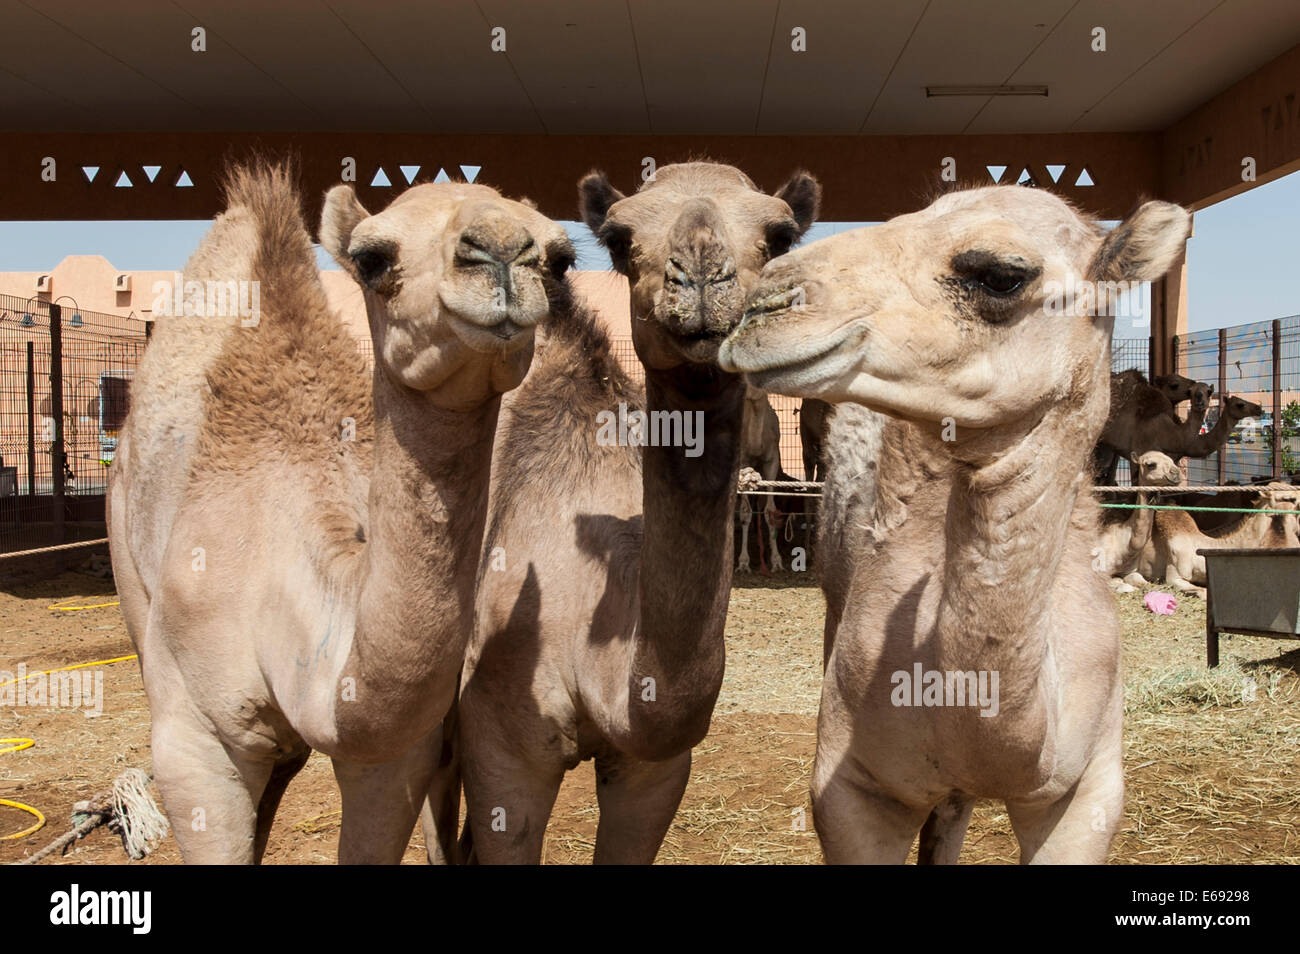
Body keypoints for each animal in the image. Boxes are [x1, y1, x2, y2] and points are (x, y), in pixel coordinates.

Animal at [737, 384, 785, 573]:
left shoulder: (772, 459)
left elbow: (770, 510)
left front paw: (777, 561)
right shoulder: (742, 460)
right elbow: (745, 512)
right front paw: (743, 563)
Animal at [1093, 451, 1184, 593]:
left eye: (1172, 460)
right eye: (1151, 464)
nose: (1176, 473)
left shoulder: (1130, 571)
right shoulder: (1099, 568)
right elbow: (1120, 583)